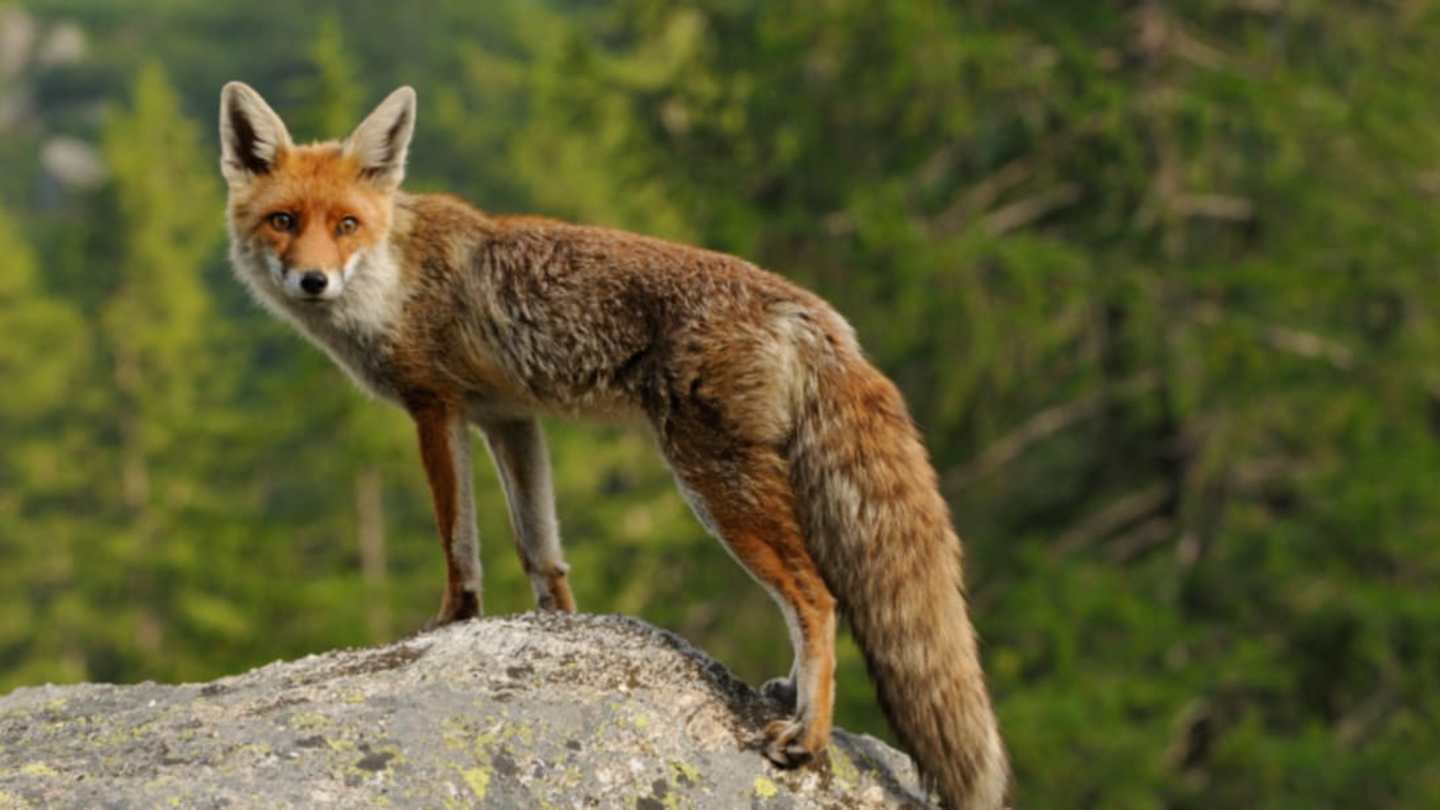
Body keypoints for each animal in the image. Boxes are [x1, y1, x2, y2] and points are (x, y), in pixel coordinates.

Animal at [218, 82, 1007, 809]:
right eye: (284, 222)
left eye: (346, 224)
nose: (312, 280)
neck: (393, 280)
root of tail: (812, 312)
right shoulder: (510, 419)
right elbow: (542, 553)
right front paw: (559, 633)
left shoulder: (435, 410)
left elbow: (458, 544)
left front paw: (451, 623)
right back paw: (791, 697)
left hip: (712, 482)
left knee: (817, 599)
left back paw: (807, 739)